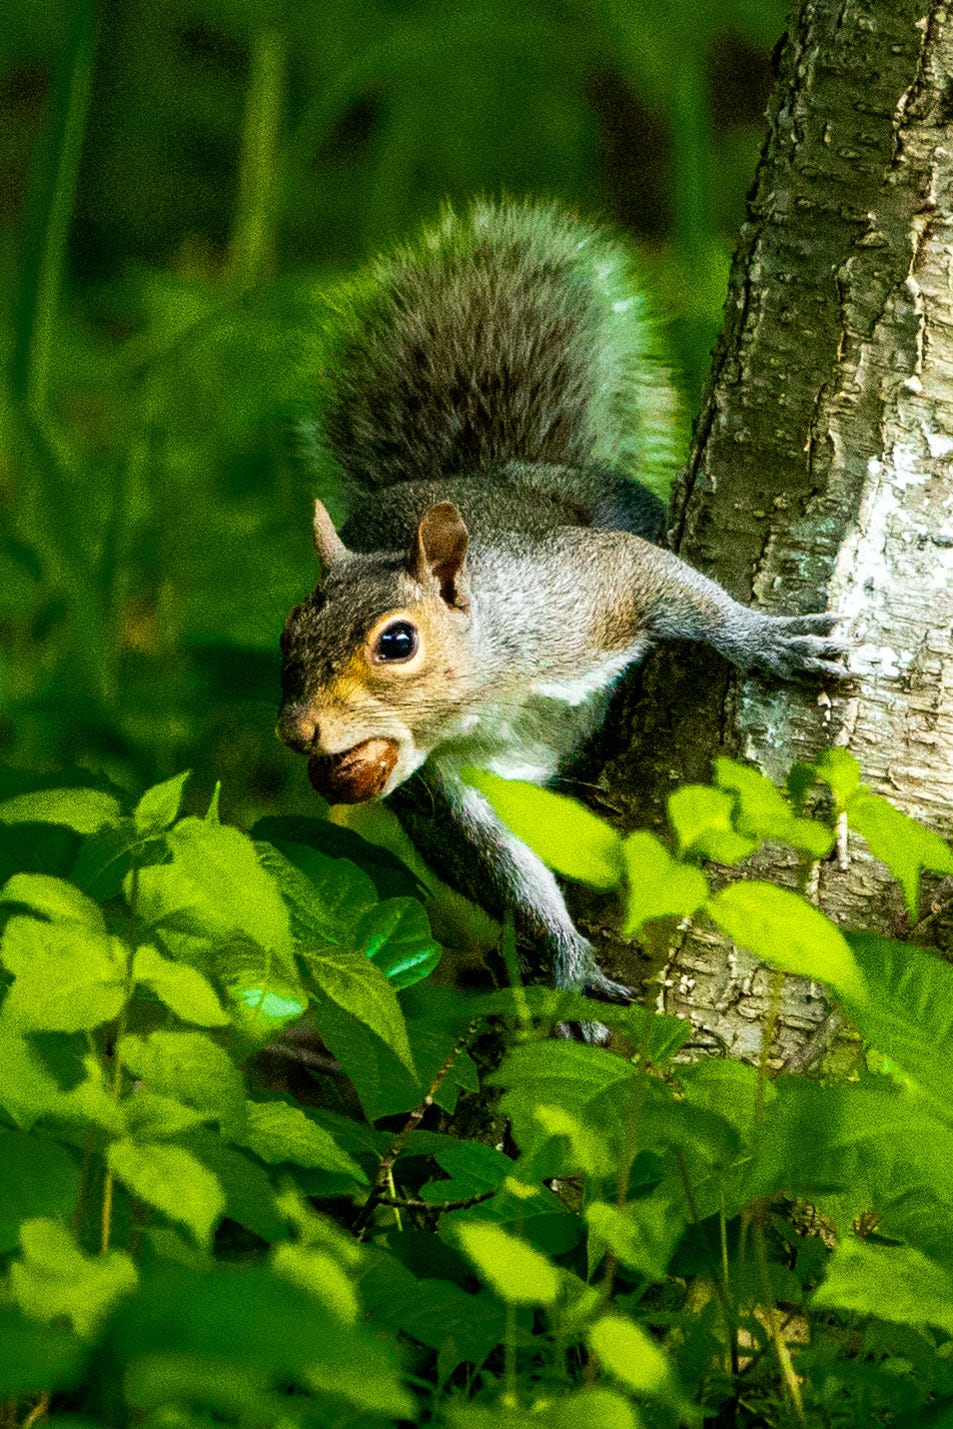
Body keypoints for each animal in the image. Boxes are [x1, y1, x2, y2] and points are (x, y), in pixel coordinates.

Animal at [277, 200, 845, 1036]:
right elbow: (511, 869)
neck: (488, 691)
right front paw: (569, 963)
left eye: (397, 641)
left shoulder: (588, 587)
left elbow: (672, 587)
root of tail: (491, 472)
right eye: (285, 636)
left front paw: (763, 640)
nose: (299, 730)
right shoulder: (456, 789)